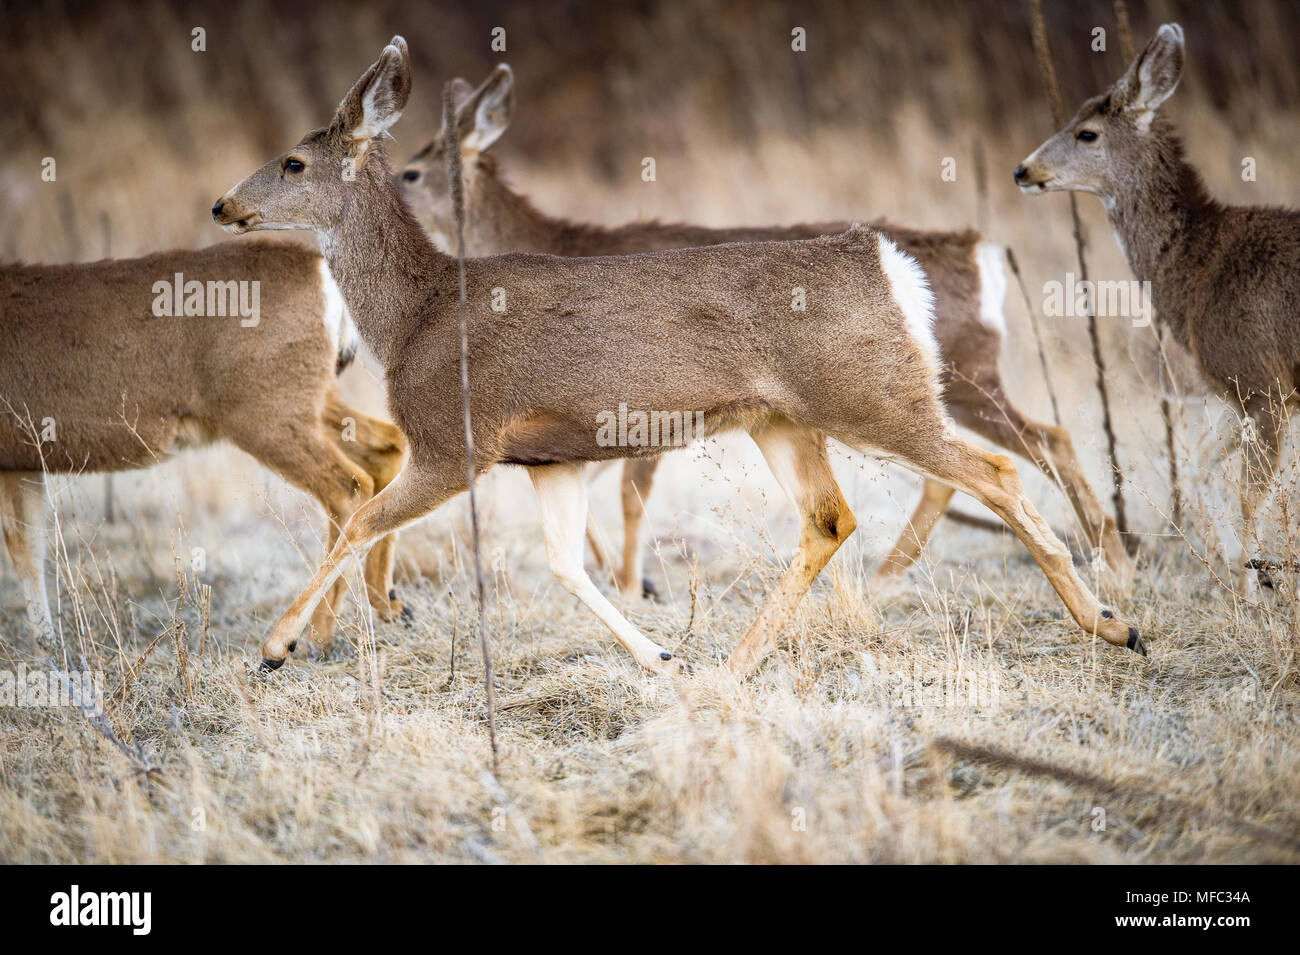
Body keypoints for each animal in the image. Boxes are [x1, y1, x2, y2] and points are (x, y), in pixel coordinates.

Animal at [0, 239, 408, 649]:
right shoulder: (22, 460)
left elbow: (20, 547)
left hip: (266, 412)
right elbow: (28, 545)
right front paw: (47, 641)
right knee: (390, 446)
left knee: (349, 486)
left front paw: (45, 644)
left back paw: (310, 635)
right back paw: (387, 602)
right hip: (308, 400)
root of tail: (322, 272)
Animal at [397, 64, 1134, 603]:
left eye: (409, 171)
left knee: (1038, 442)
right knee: (978, 464)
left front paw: (633, 586)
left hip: (961, 376)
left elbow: (631, 493)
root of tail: (982, 252)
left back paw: (1109, 566)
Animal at [1015, 22, 1300, 595]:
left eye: (1087, 133)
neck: (1198, 270)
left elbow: (1250, 493)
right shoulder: (1235, 390)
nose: (1023, 170)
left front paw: (1254, 589)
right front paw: (1233, 565)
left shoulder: (1265, 383)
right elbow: (1199, 463)